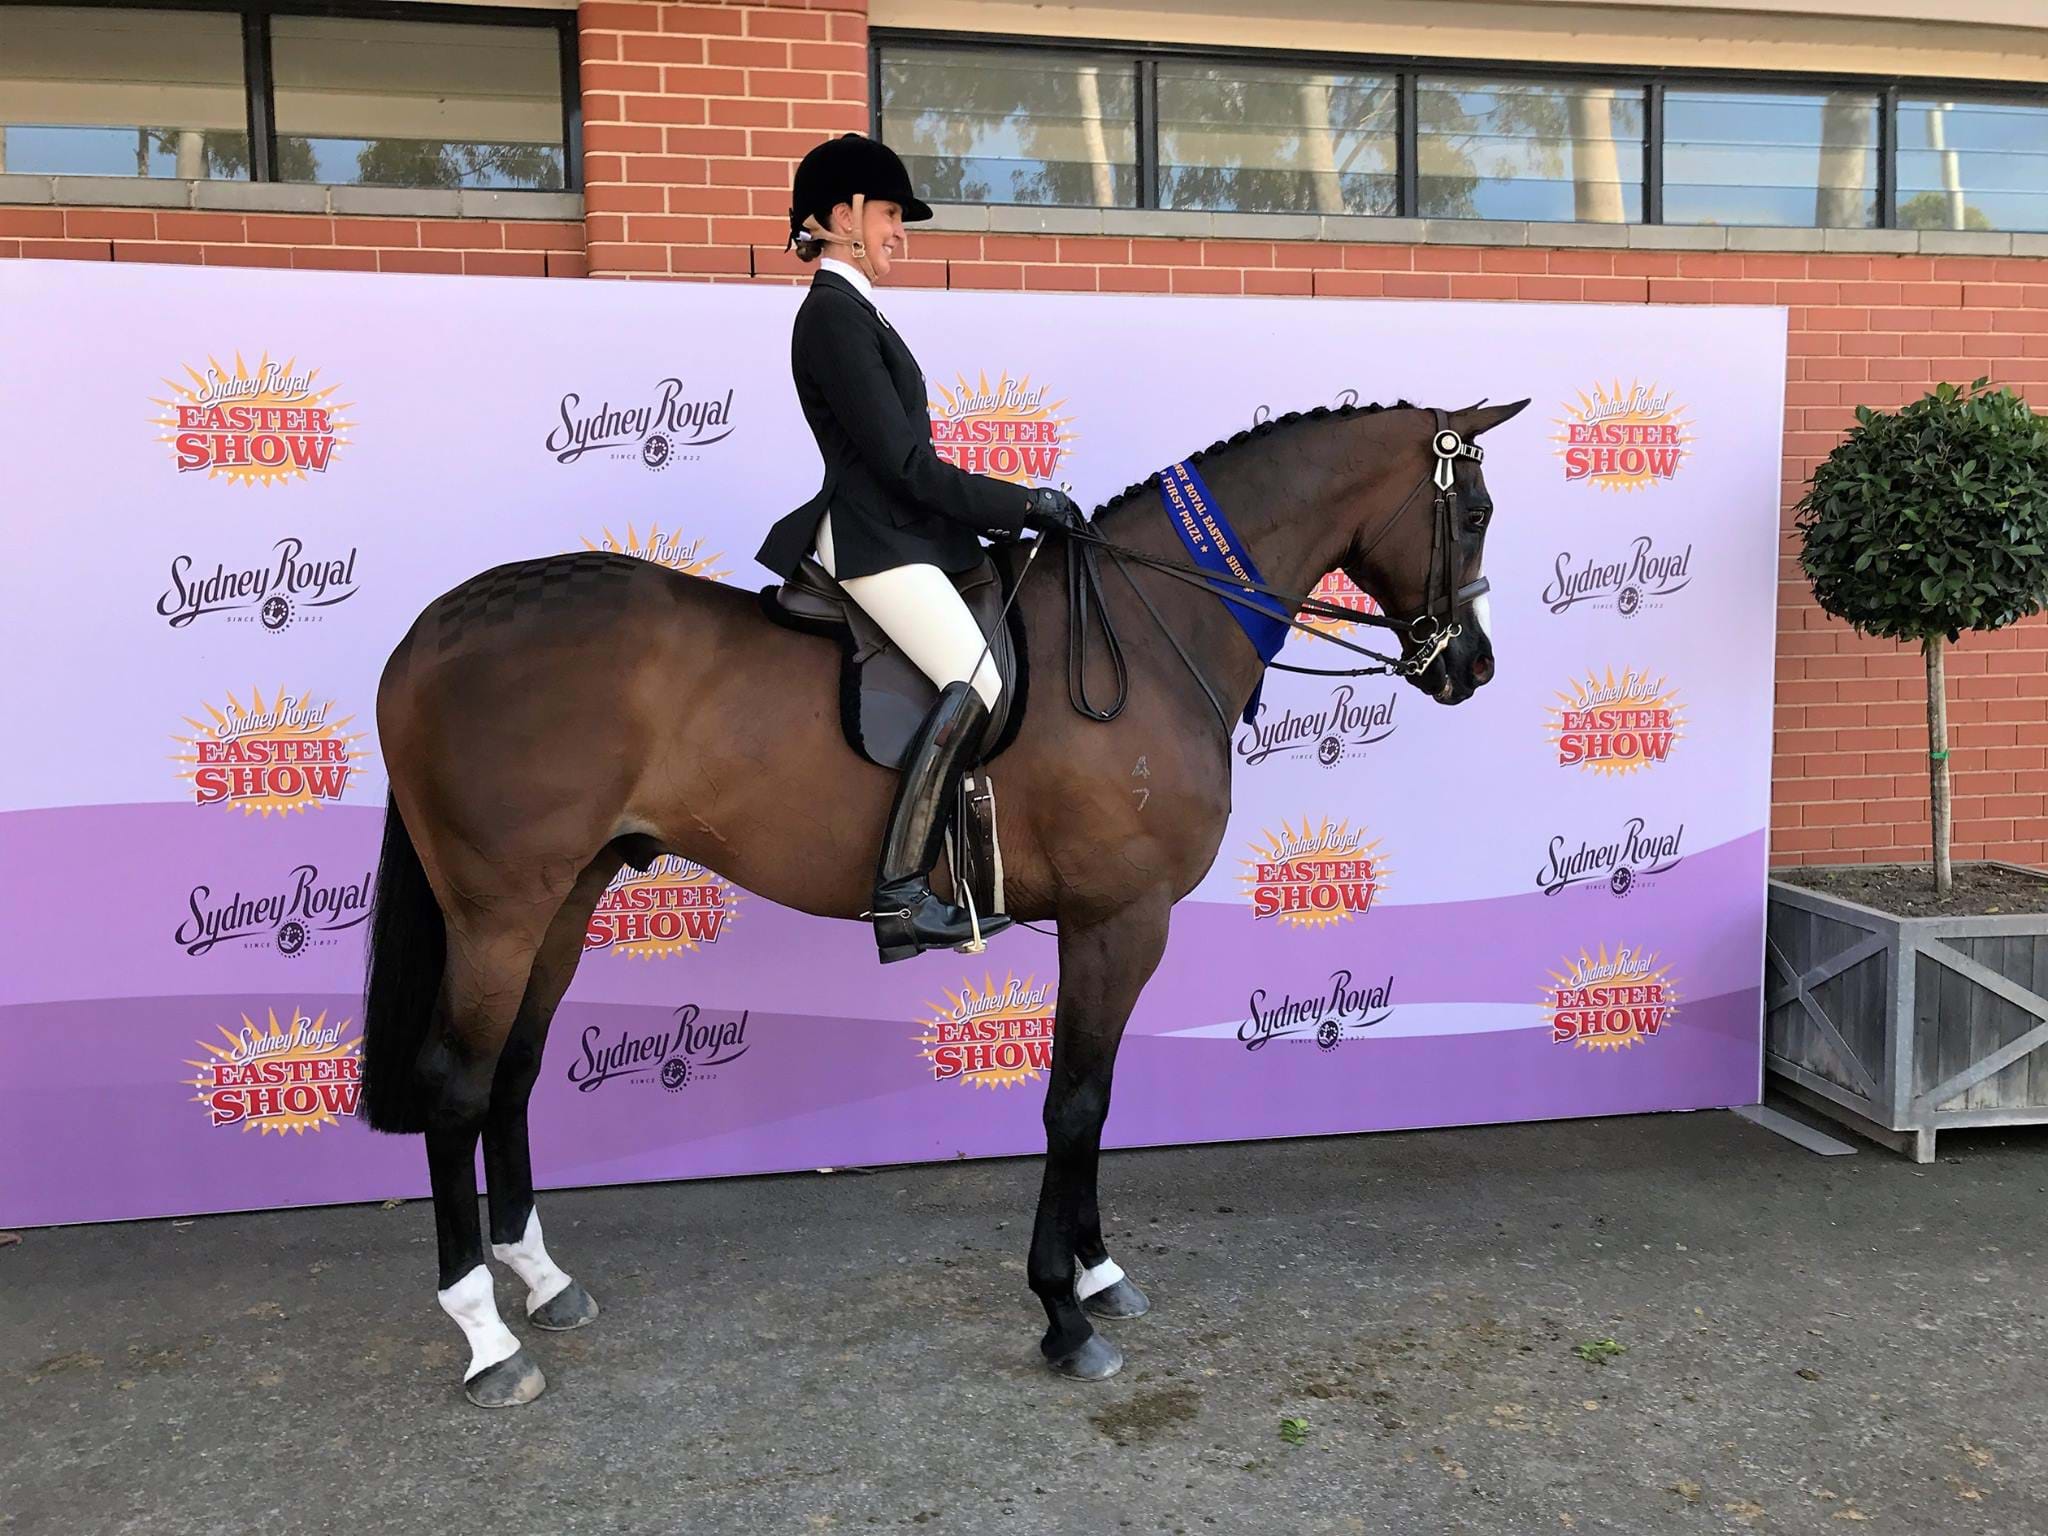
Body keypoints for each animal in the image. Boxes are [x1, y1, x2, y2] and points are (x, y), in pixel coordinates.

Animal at [359, 396, 1528, 1406]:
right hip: (500, 911)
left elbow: (1094, 1098)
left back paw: (543, 1282)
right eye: (1472, 514)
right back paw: (487, 1338)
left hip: (568, 896)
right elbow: (1075, 1103)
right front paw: (1065, 1312)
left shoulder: (1111, 926)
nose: (1470, 666)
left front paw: (1097, 1274)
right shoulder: (1119, 920)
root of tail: (437, 627)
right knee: (456, 1086)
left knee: (513, 1073)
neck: (1153, 627)